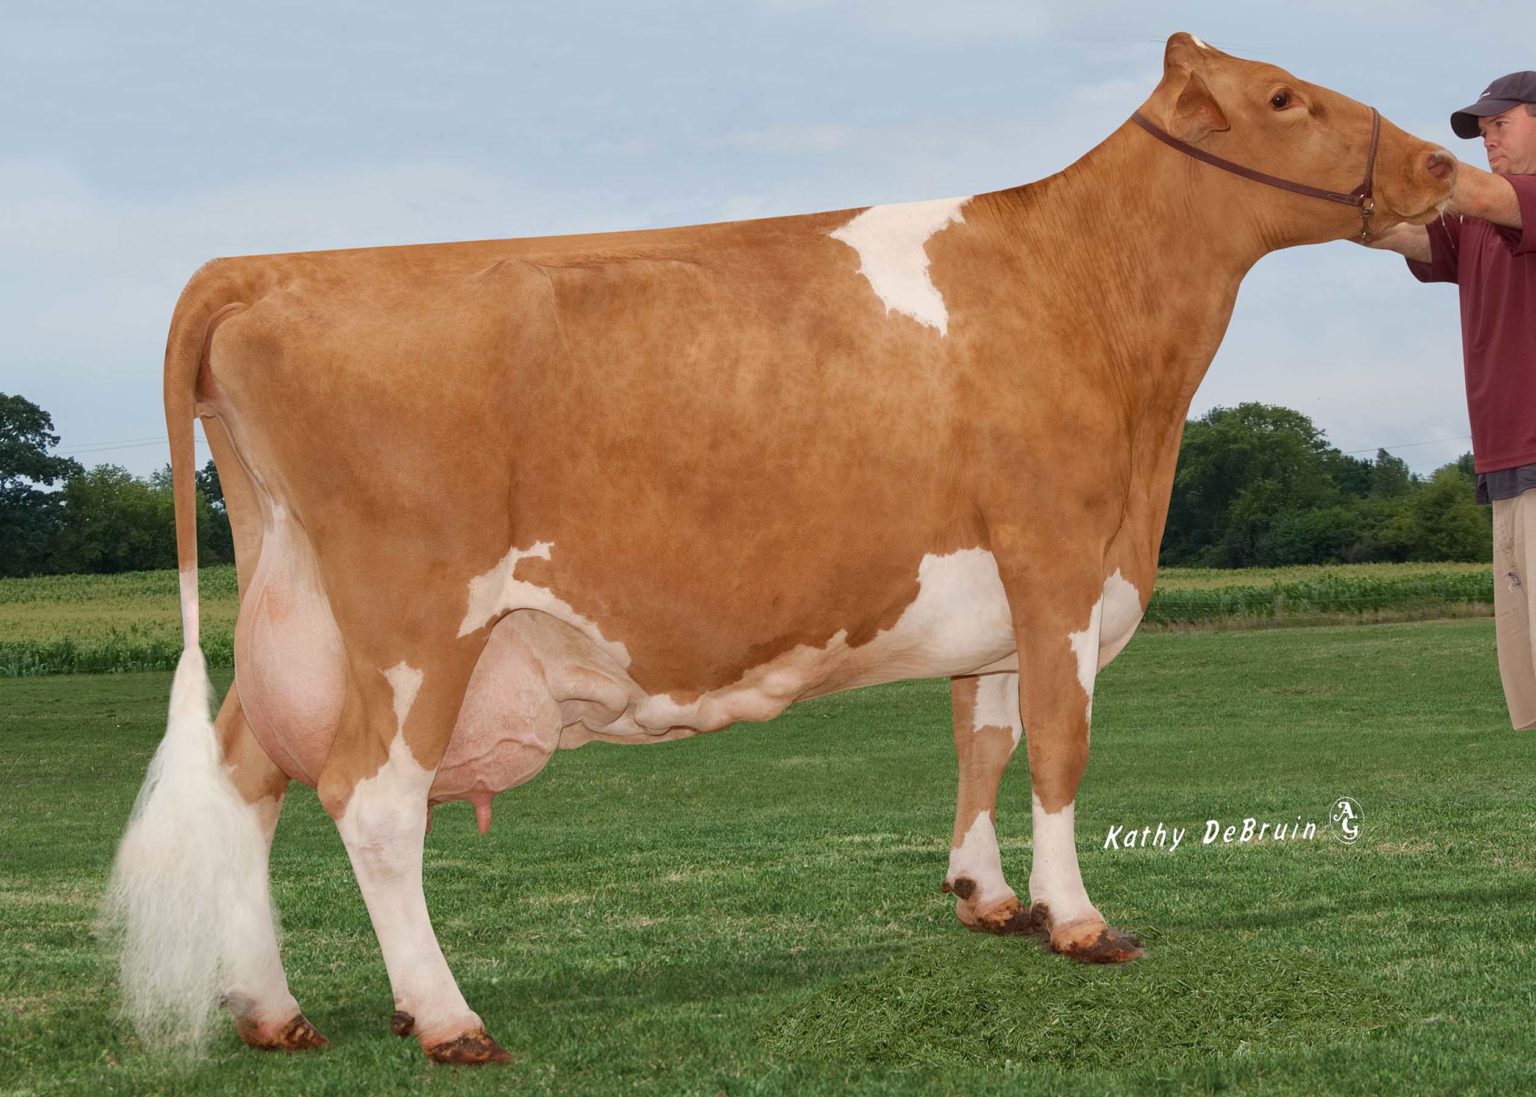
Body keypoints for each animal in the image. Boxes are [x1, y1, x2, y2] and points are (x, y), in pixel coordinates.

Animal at [103, 32, 1455, 1064]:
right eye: (1283, 97)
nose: (1442, 158)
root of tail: (265, 268)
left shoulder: (1002, 600)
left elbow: (985, 734)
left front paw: (989, 899)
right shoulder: (1060, 560)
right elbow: (1061, 744)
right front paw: (1080, 921)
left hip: (296, 609)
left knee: (249, 776)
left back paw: (269, 1006)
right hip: (415, 620)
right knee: (373, 800)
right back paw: (445, 1016)